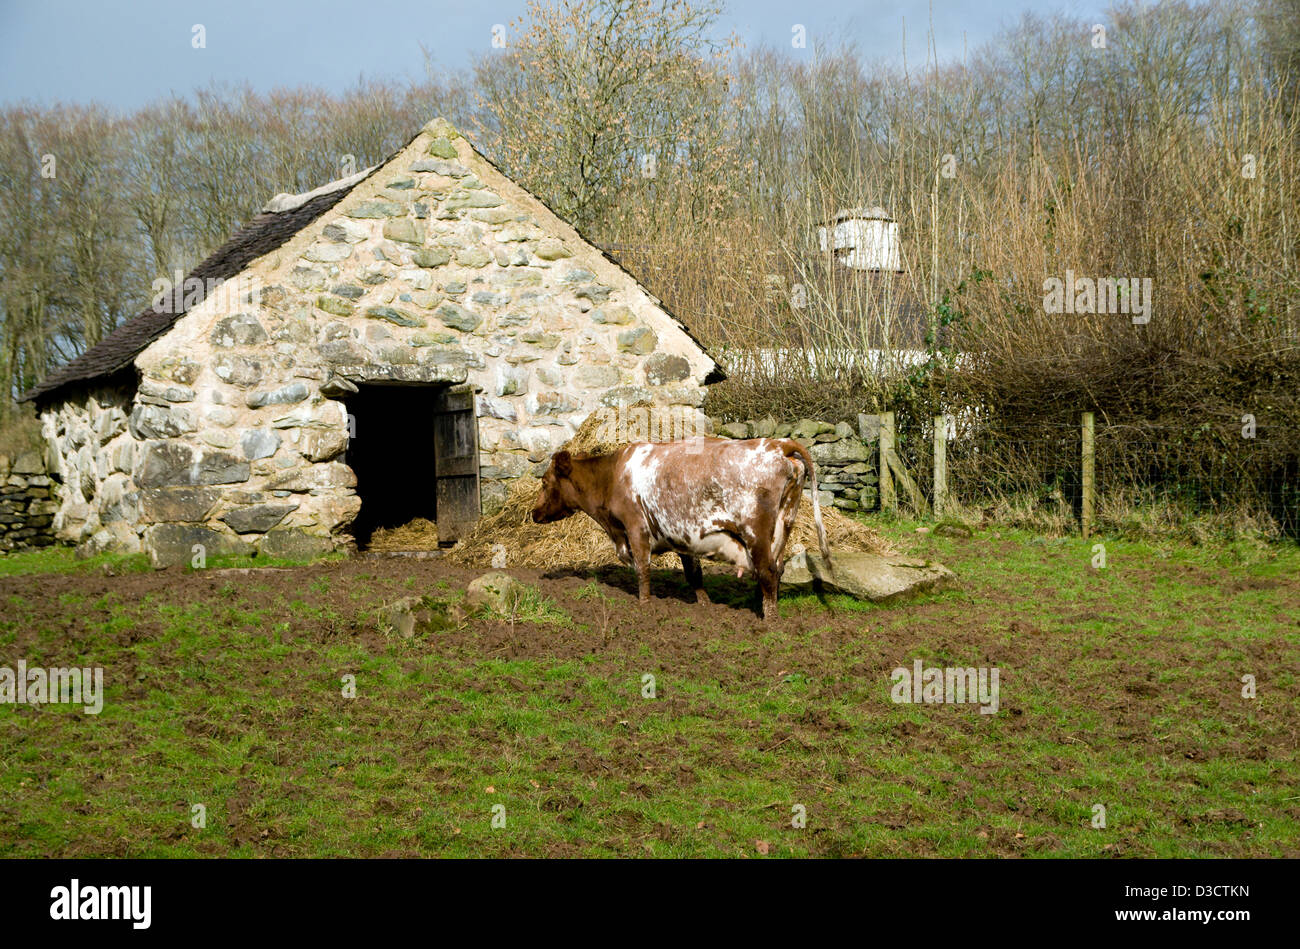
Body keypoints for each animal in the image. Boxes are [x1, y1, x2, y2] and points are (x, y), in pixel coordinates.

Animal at [531, 437, 832, 619]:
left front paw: (644, 606)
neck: (612, 476)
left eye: (544, 481)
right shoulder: (682, 537)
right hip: (783, 526)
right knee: (775, 569)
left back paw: (770, 621)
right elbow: (693, 575)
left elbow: (643, 570)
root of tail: (778, 443)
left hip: (755, 532)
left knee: (767, 571)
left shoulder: (635, 528)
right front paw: (704, 606)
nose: (534, 513)